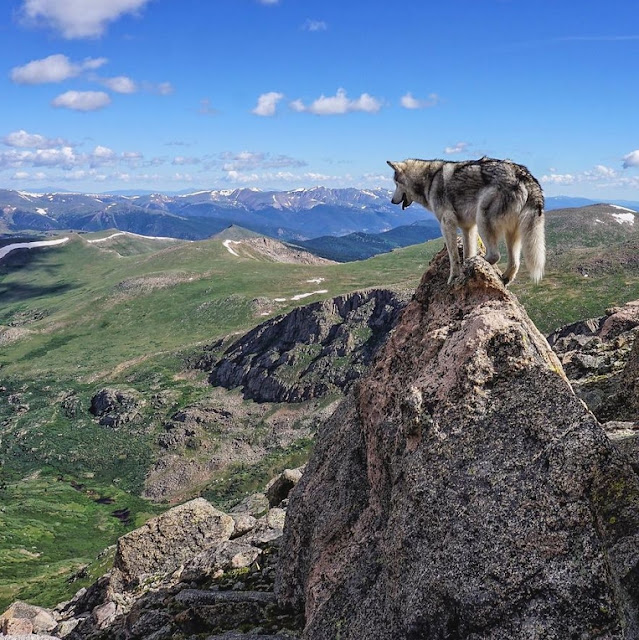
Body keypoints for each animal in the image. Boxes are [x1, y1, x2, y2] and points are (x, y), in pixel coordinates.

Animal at [387, 157, 545, 285]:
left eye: (395, 183)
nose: (392, 201)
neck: (429, 181)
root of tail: (525, 176)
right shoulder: (467, 227)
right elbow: (467, 251)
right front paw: (465, 266)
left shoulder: (446, 223)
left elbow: (454, 256)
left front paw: (453, 278)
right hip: (510, 233)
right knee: (514, 263)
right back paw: (503, 278)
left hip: (483, 219)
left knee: (495, 255)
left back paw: (478, 263)